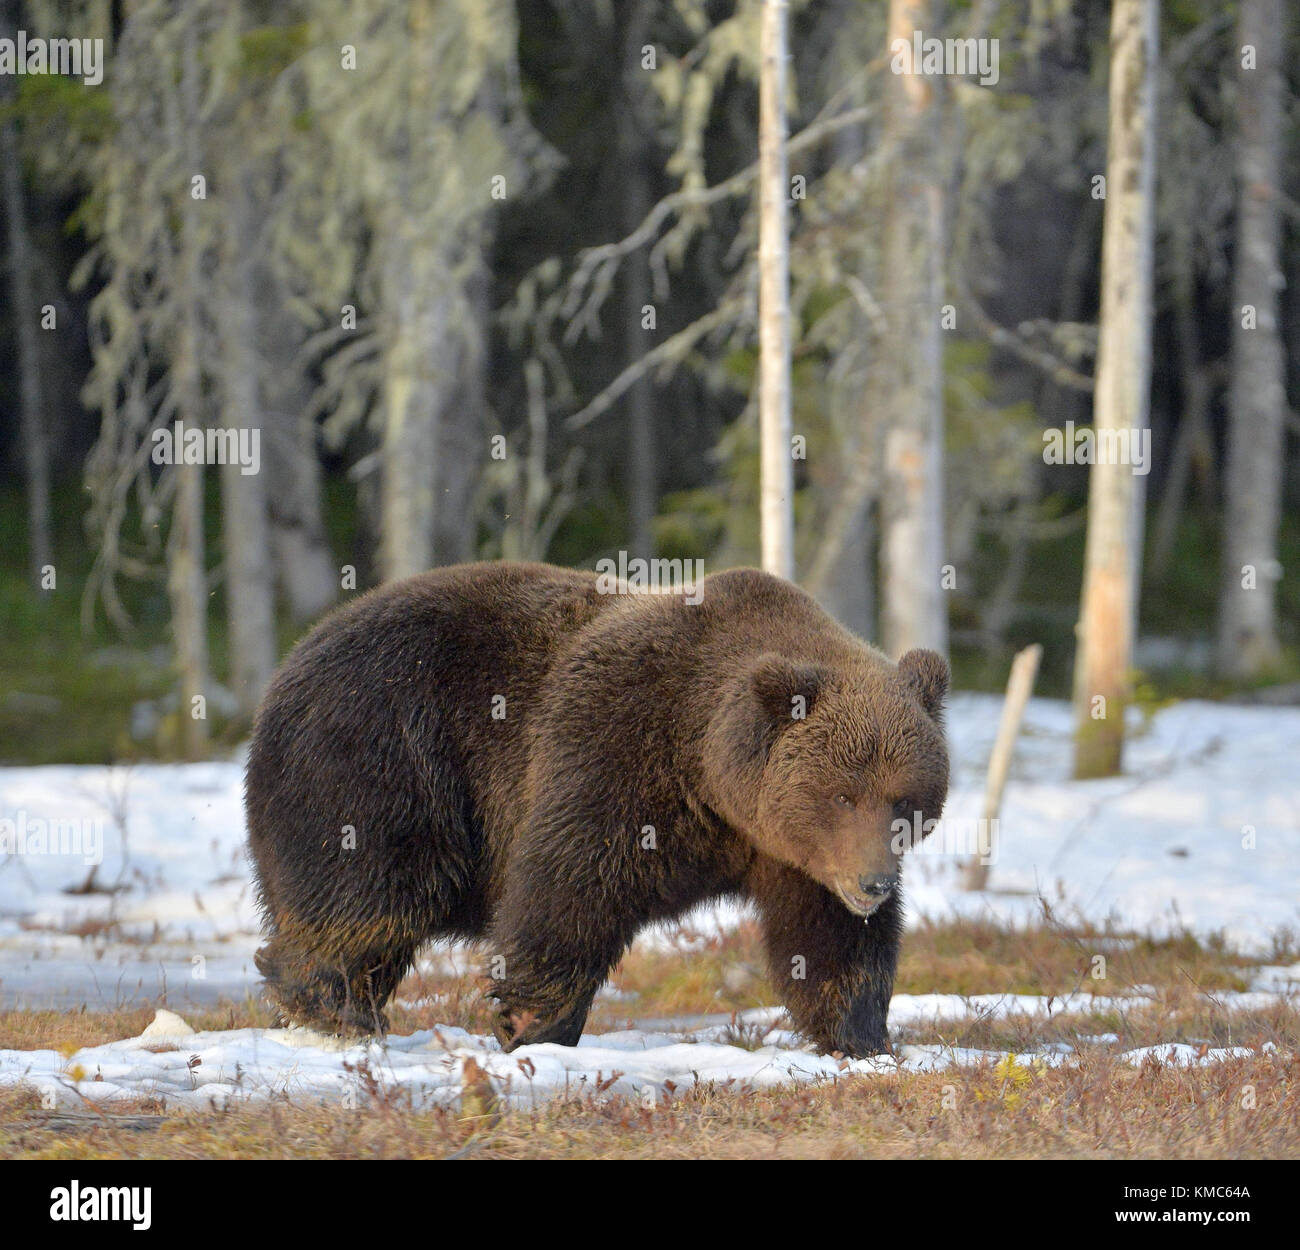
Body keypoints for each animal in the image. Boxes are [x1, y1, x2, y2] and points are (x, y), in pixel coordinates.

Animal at [245, 560, 949, 1058]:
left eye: (905, 799)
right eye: (842, 793)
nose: (874, 883)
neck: (711, 777)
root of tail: (292, 657)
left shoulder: (792, 854)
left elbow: (828, 938)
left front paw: (861, 1036)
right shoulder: (617, 749)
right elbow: (570, 883)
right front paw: (532, 1020)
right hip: (381, 752)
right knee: (371, 891)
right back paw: (331, 1006)